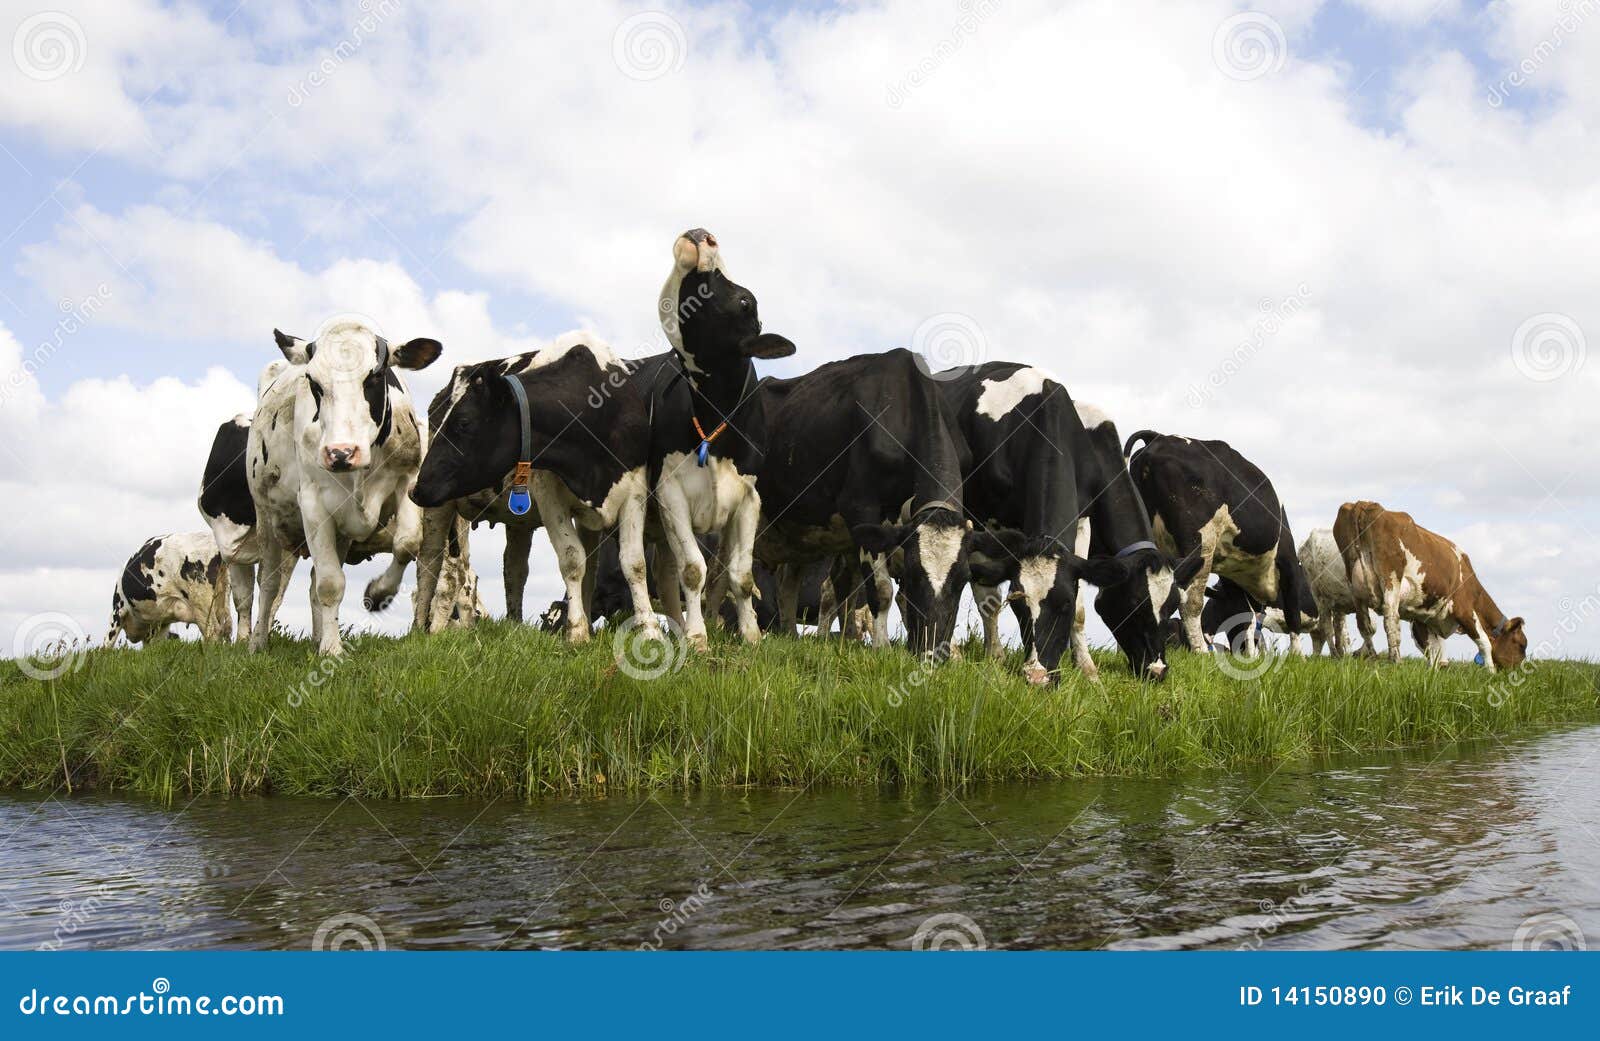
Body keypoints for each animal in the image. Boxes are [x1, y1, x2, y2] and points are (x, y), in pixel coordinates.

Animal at [248, 320, 442, 656]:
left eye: (375, 376)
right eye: (313, 381)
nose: (341, 453)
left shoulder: (407, 478)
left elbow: (406, 543)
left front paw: (378, 594)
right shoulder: (313, 504)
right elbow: (329, 583)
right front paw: (332, 650)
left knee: (312, 583)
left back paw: (317, 636)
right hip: (265, 516)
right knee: (269, 583)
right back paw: (258, 642)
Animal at [752, 348, 971, 657]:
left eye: (963, 579)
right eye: (914, 575)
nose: (932, 654)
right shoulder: (861, 508)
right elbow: (881, 590)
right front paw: (882, 648)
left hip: (798, 532)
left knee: (788, 581)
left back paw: (790, 635)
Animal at [935, 367, 1196, 684]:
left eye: (1171, 606)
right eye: (1134, 605)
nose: (1157, 671)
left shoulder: (1083, 522)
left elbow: (1081, 606)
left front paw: (1087, 669)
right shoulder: (982, 518)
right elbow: (989, 598)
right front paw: (995, 659)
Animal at [1124, 430, 1317, 658]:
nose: (1315, 616)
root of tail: (1158, 437)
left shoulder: (1234, 585)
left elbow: (1246, 620)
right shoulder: (1288, 561)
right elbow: (1292, 611)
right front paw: (1297, 656)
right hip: (1201, 542)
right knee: (1190, 601)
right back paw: (1200, 651)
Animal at [1333, 501, 1526, 670]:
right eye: (1522, 645)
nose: (1519, 670)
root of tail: (1365, 504)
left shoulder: (1423, 617)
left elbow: (1432, 648)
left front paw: (1433, 672)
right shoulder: (1463, 608)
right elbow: (1484, 641)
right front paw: (1490, 671)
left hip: (1354, 586)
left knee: (1364, 623)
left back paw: (1373, 657)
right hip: (1391, 580)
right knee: (1391, 619)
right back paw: (1396, 661)